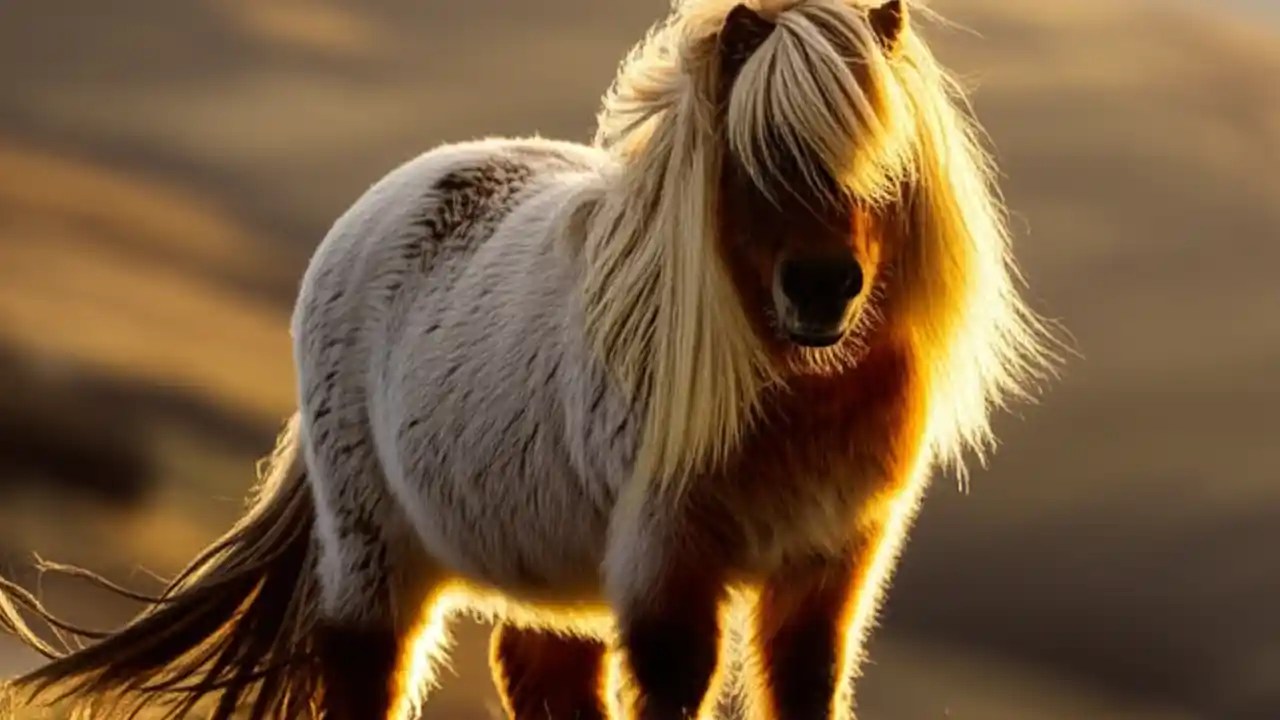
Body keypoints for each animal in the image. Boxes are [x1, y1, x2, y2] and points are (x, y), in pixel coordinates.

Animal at [0, 0, 1059, 718]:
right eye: (754, 152)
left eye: (886, 161)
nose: (823, 288)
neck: (785, 399)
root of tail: (381, 202)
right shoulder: (667, 564)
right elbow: (675, 686)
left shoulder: (826, 572)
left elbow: (803, 689)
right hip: (374, 554)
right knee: (365, 668)